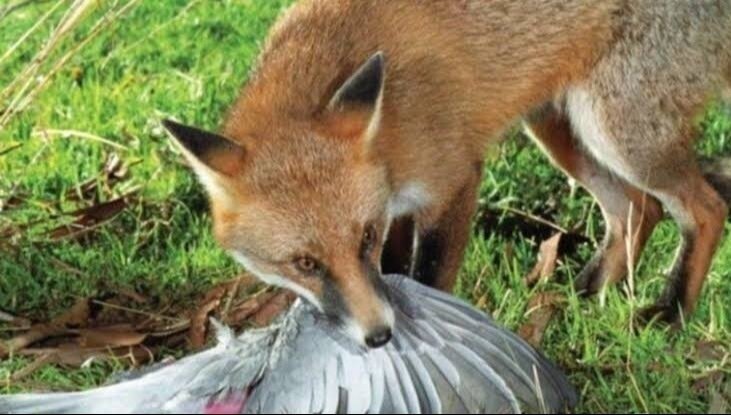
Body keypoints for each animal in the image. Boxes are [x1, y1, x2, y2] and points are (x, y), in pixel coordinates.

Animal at [163, 0, 731, 348]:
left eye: (362, 239)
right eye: (304, 263)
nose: (378, 336)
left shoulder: (453, 179)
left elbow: (429, 277)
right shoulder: (393, 205)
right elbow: (396, 271)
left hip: (617, 134)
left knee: (705, 207)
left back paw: (673, 313)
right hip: (559, 129)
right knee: (637, 209)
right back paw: (583, 297)